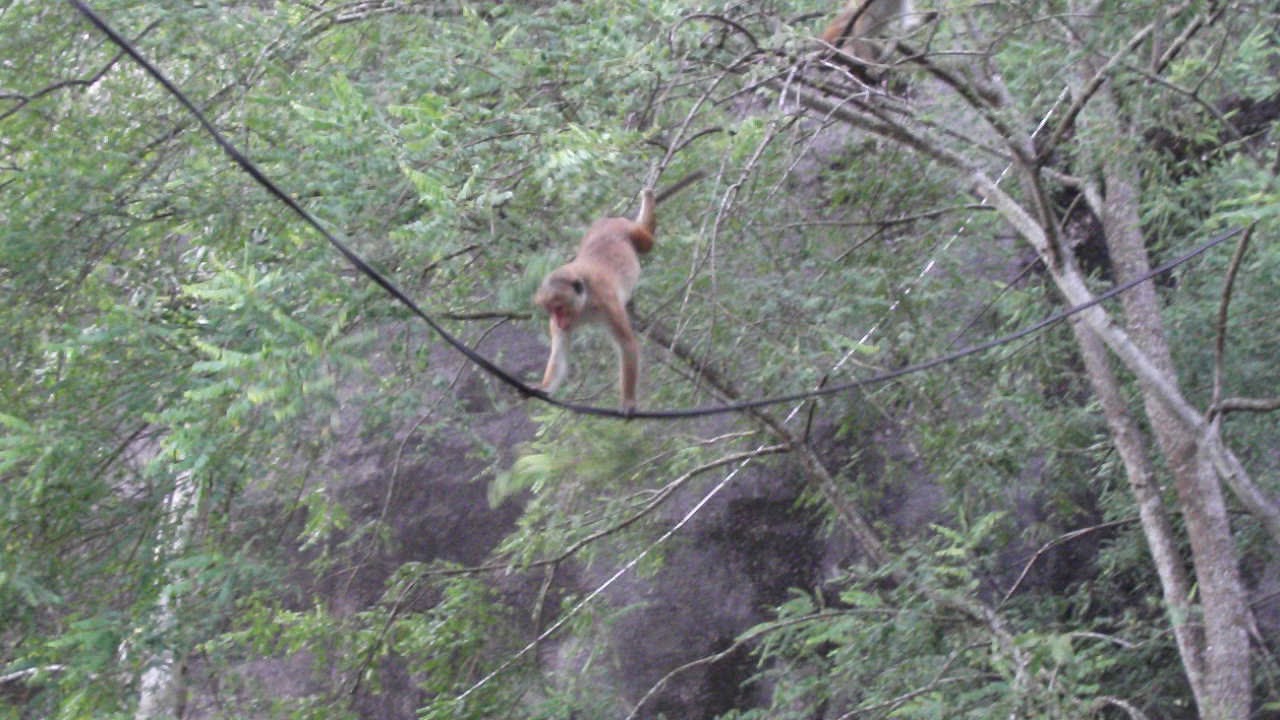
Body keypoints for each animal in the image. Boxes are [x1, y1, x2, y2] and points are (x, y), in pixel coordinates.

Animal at [533, 188, 655, 412]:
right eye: (552, 311)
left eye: (560, 308)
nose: (559, 321)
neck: (584, 306)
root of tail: (607, 221)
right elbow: (559, 353)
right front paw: (544, 388)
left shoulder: (607, 302)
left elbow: (627, 344)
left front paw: (628, 400)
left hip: (627, 230)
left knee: (647, 242)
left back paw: (648, 200)